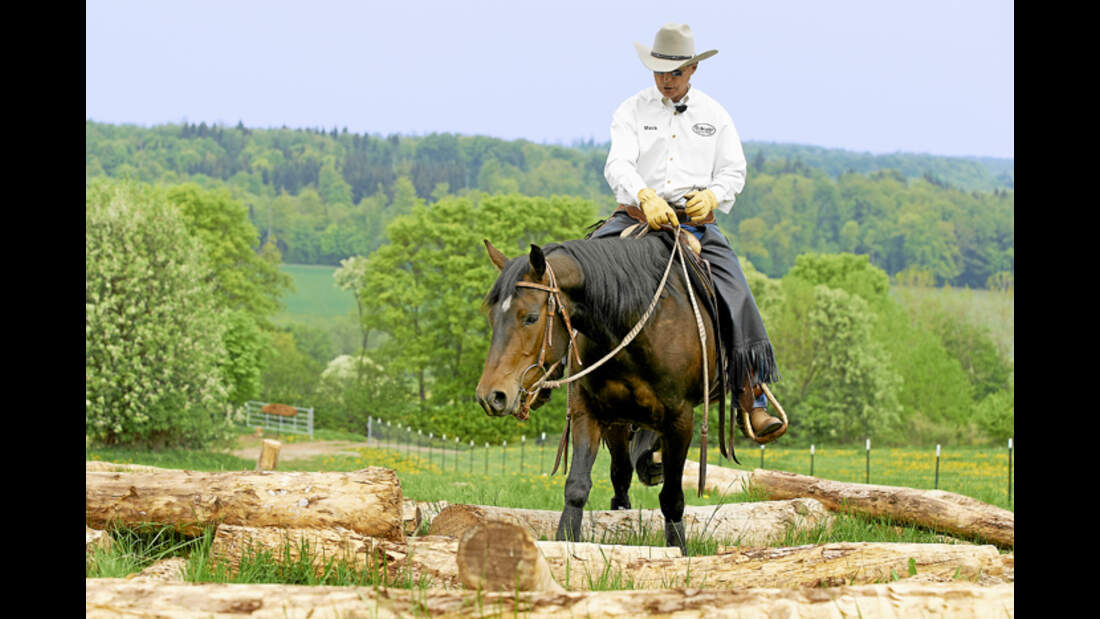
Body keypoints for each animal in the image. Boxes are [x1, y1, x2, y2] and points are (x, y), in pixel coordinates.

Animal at [475, 231, 739, 554]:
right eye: (492, 318)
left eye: (531, 317)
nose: (492, 396)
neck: (635, 324)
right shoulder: (589, 414)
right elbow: (577, 487)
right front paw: (566, 544)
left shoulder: (680, 421)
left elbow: (672, 498)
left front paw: (679, 550)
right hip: (619, 424)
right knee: (622, 475)